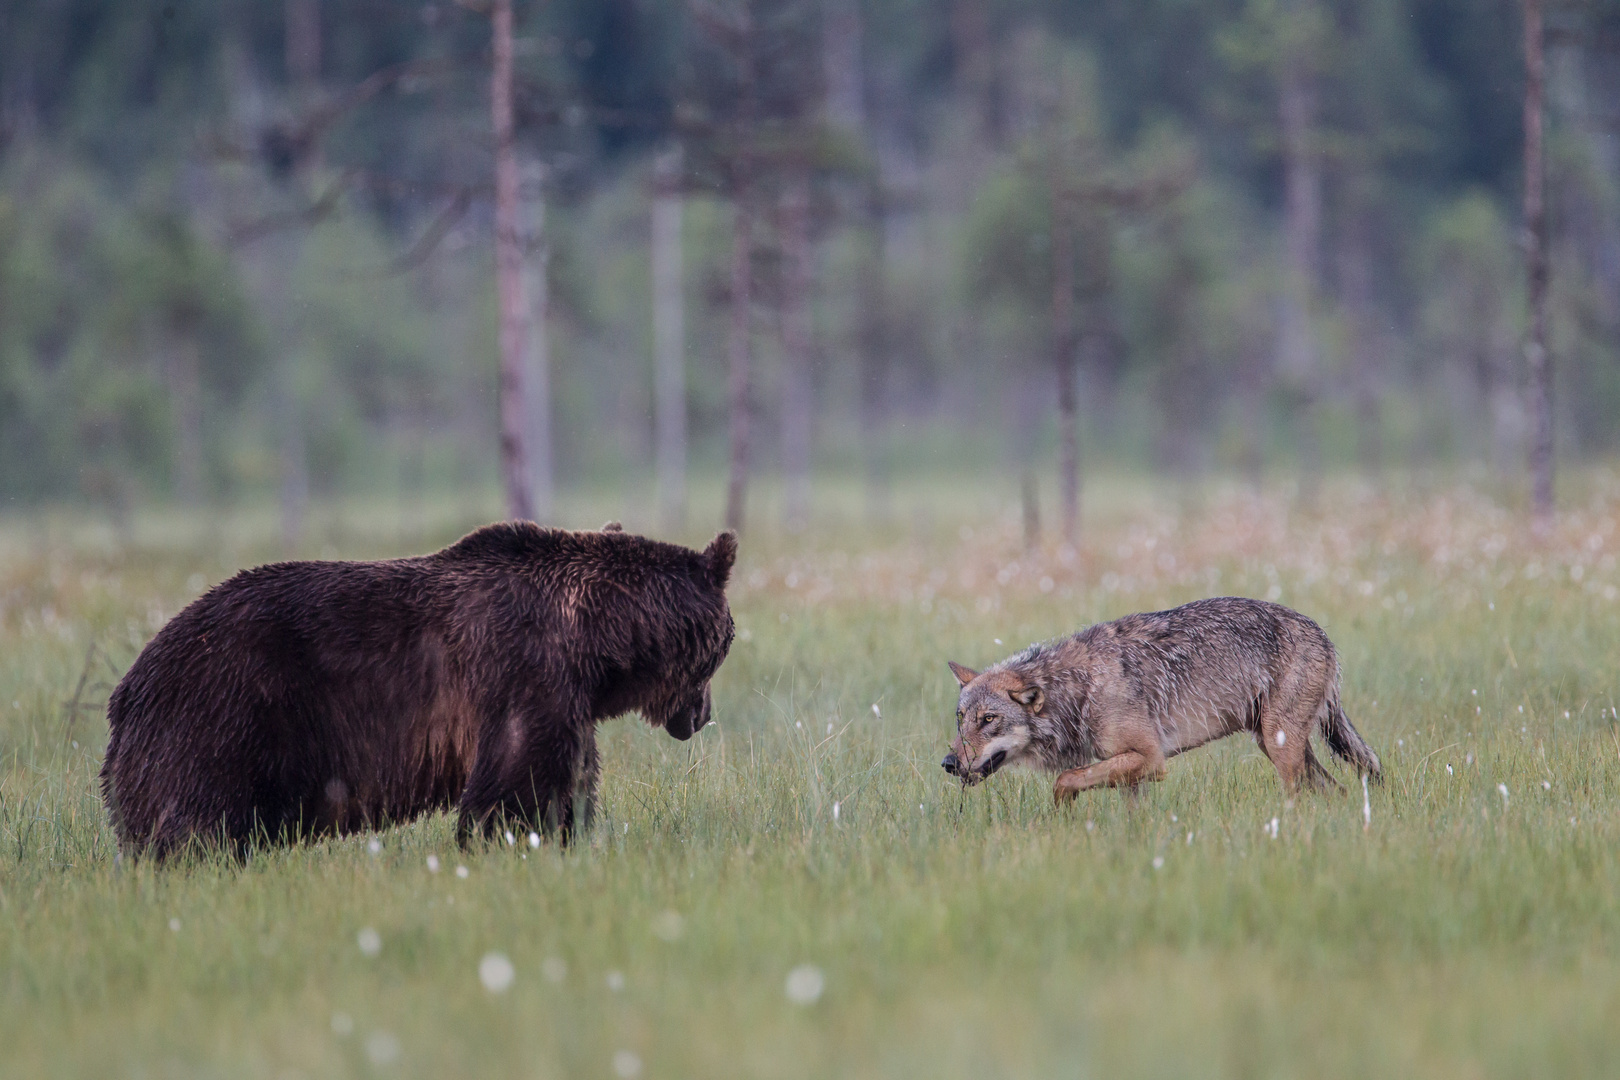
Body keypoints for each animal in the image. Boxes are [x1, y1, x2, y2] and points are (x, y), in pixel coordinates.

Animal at [100, 521, 737, 858]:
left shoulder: (566, 699)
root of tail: (127, 690)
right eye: (729, 640)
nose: (702, 715)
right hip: (222, 712)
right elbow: (517, 781)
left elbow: (571, 776)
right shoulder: (524, 675)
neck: (594, 638)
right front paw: (505, 840)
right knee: (196, 815)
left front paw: (567, 834)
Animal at [940, 596, 1381, 803]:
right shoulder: (1131, 769)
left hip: (1280, 747)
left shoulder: (1150, 760)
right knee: (1337, 792)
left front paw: (1063, 814)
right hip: (1276, 745)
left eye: (989, 720)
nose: (948, 763)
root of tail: (1322, 634)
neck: (1079, 688)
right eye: (960, 718)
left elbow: (1065, 779)